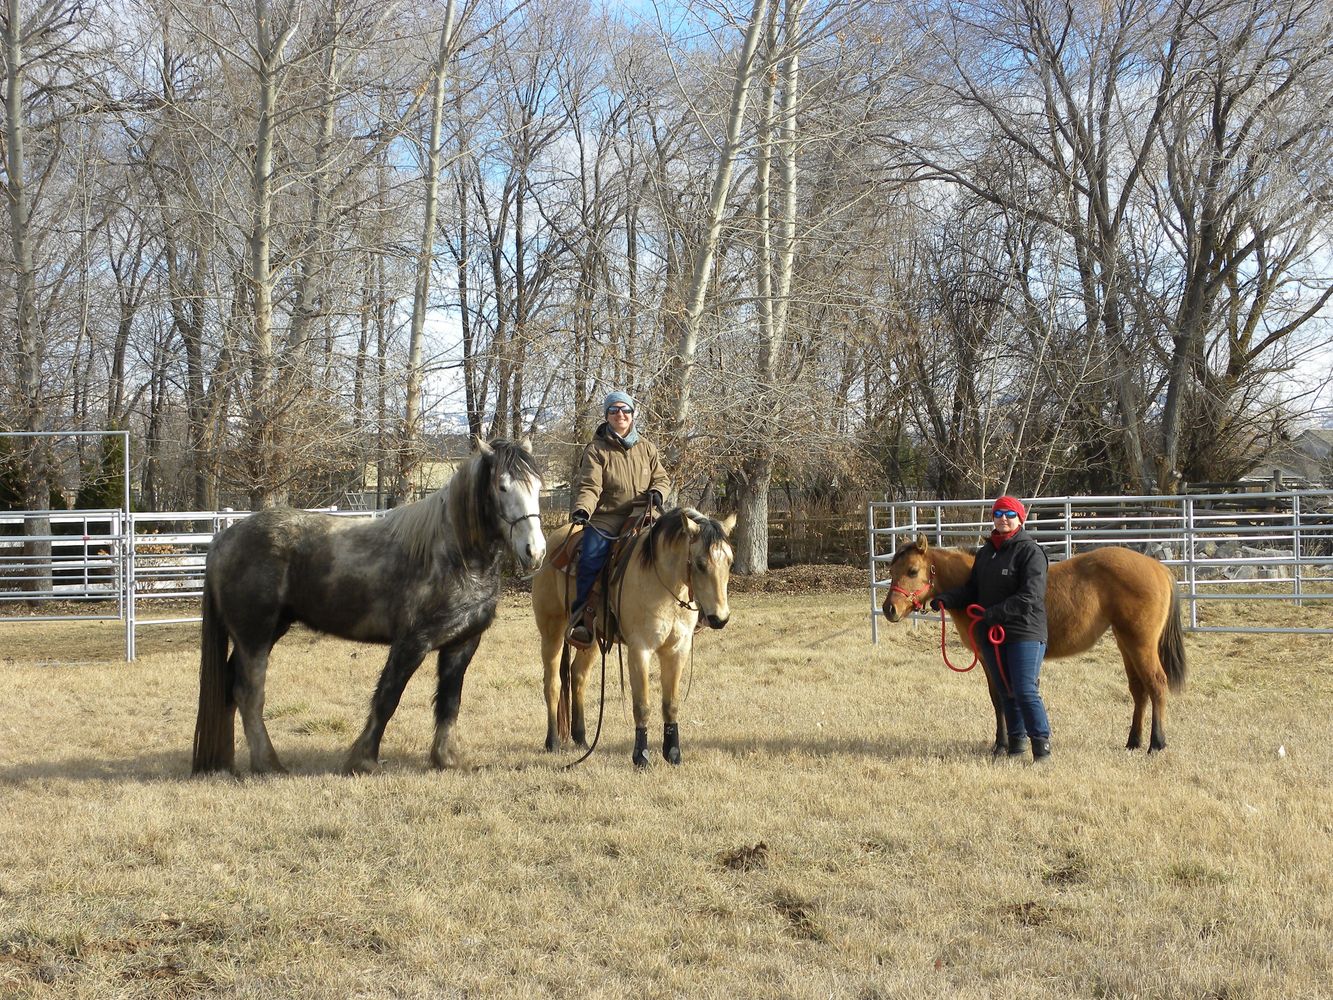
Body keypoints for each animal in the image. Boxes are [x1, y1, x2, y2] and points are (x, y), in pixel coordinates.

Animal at [192, 437, 546, 776]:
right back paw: (268, 765)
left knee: (229, 689)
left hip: (264, 632)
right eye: (502, 487)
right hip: (255, 637)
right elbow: (387, 698)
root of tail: (222, 540)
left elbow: (449, 702)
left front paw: (446, 759)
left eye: (538, 487)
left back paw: (227, 762)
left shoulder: (462, 644)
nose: (535, 551)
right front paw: (363, 761)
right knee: (248, 693)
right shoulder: (411, 643)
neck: (453, 555)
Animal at [530, 508, 735, 767]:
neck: (662, 582)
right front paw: (641, 756)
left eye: (729, 562)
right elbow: (642, 706)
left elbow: (671, 704)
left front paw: (673, 753)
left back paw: (582, 739)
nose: (720, 618)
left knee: (578, 677)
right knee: (553, 683)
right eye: (700, 564)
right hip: (552, 630)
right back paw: (553, 741)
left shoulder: (677, 649)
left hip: (591, 639)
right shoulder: (640, 649)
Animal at [881, 536, 1185, 753]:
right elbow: (999, 699)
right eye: (892, 569)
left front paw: (1008, 745)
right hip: (1126, 644)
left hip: (1141, 644)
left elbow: (1005, 697)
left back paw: (1156, 744)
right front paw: (1004, 743)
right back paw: (1133, 742)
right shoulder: (990, 659)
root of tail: (1159, 568)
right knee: (1139, 690)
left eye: (912, 570)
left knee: (1156, 684)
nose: (888, 609)